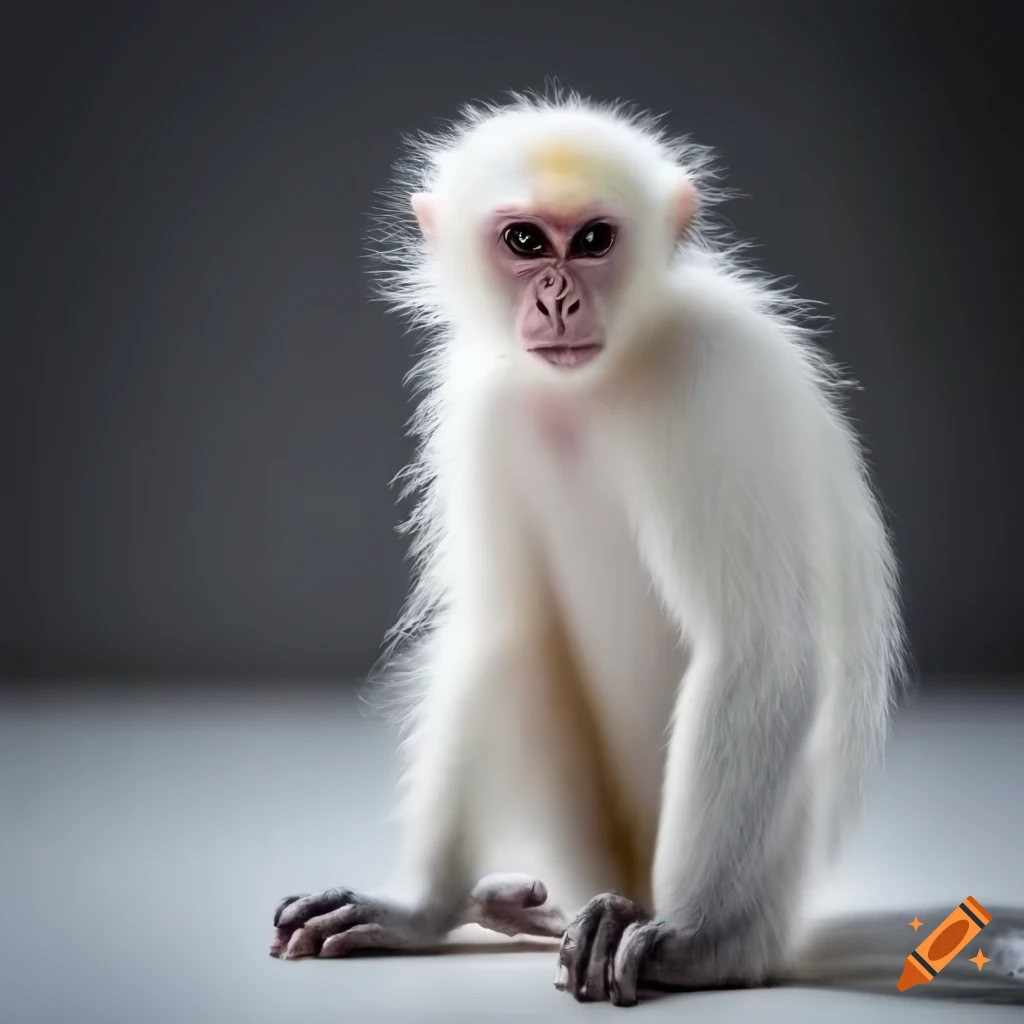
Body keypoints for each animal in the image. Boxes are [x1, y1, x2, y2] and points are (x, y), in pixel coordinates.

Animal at [269, 90, 1024, 1007]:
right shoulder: (486, 405)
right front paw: (417, 910)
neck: (594, 385)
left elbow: (764, 647)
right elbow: (501, 629)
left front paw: (691, 941)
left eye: (594, 239)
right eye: (526, 242)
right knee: (524, 649)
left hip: (761, 887)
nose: (557, 298)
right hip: (587, 841)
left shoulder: (710, 374)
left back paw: (693, 940)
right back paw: (524, 911)